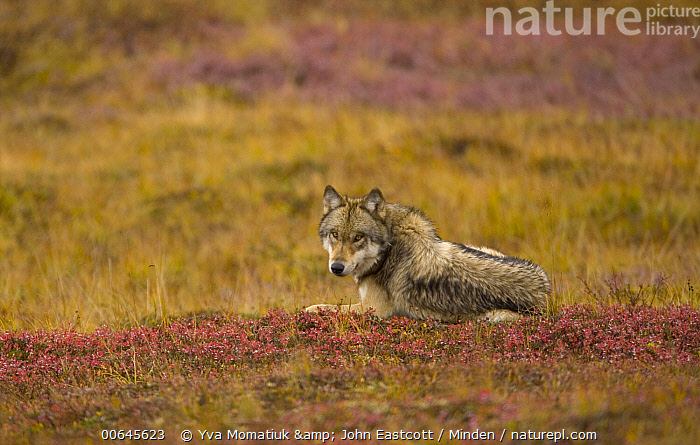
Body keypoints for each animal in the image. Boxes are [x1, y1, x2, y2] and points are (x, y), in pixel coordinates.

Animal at [305, 186, 551, 322]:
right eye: (335, 234)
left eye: (358, 237)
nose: (336, 267)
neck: (389, 248)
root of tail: (546, 291)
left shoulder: (374, 309)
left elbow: (315, 307)